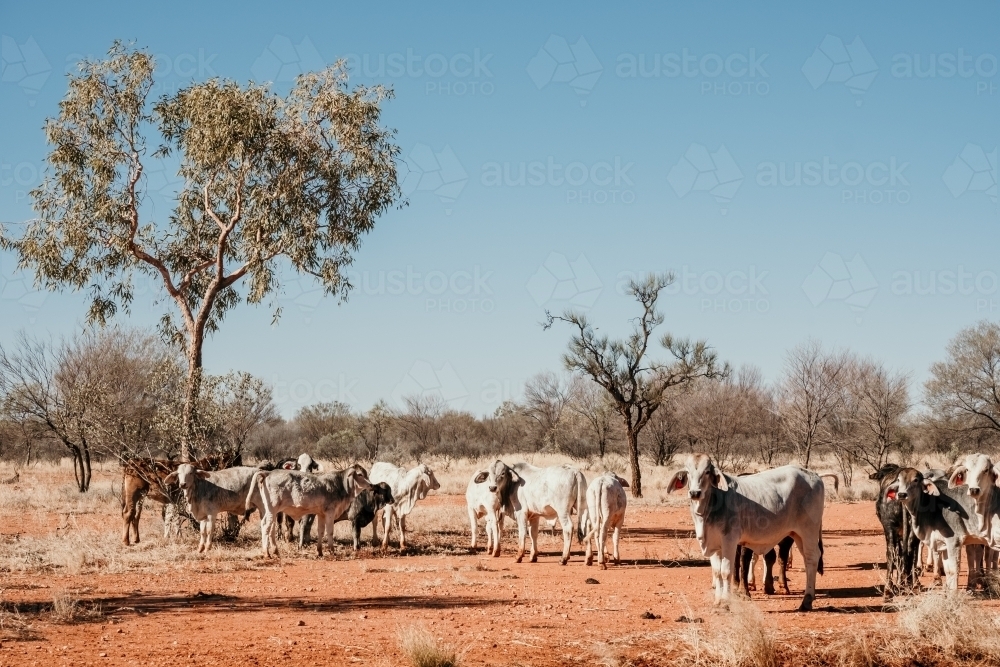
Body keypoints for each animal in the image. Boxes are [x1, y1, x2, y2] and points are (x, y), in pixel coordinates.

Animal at [668, 454, 825, 611]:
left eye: (707, 472)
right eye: (688, 473)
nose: (695, 493)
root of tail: (814, 475)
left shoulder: (730, 541)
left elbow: (726, 571)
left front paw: (726, 602)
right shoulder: (713, 545)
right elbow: (717, 572)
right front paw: (717, 602)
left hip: (808, 531)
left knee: (812, 558)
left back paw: (806, 600)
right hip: (797, 534)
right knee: (808, 559)